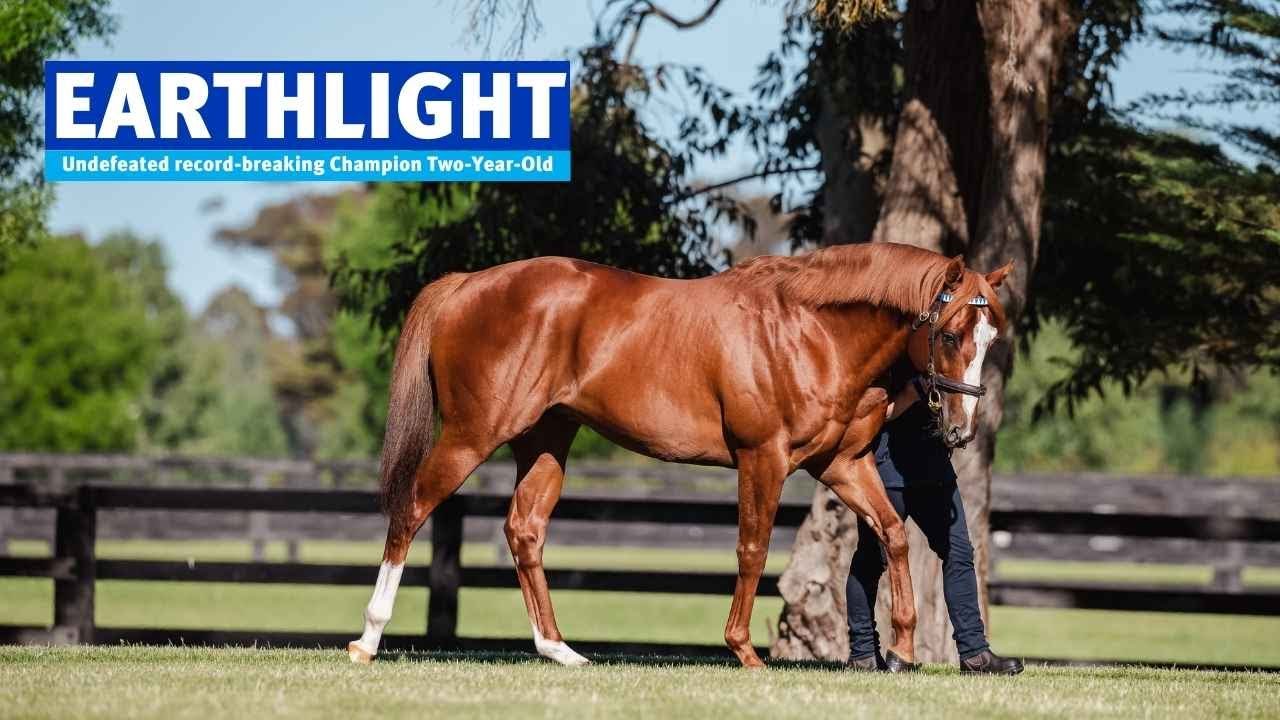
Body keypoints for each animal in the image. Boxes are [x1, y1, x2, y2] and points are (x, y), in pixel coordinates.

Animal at [346, 241, 1011, 668]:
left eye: (990, 338)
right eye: (950, 333)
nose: (960, 428)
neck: (811, 331)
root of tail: (468, 283)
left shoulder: (842, 466)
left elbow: (893, 533)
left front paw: (902, 649)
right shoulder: (763, 459)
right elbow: (751, 549)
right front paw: (743, 650)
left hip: (546, 440)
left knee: (524, 529)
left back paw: (560, 650)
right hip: (471, 434)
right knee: (411, 510)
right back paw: (368, 639)